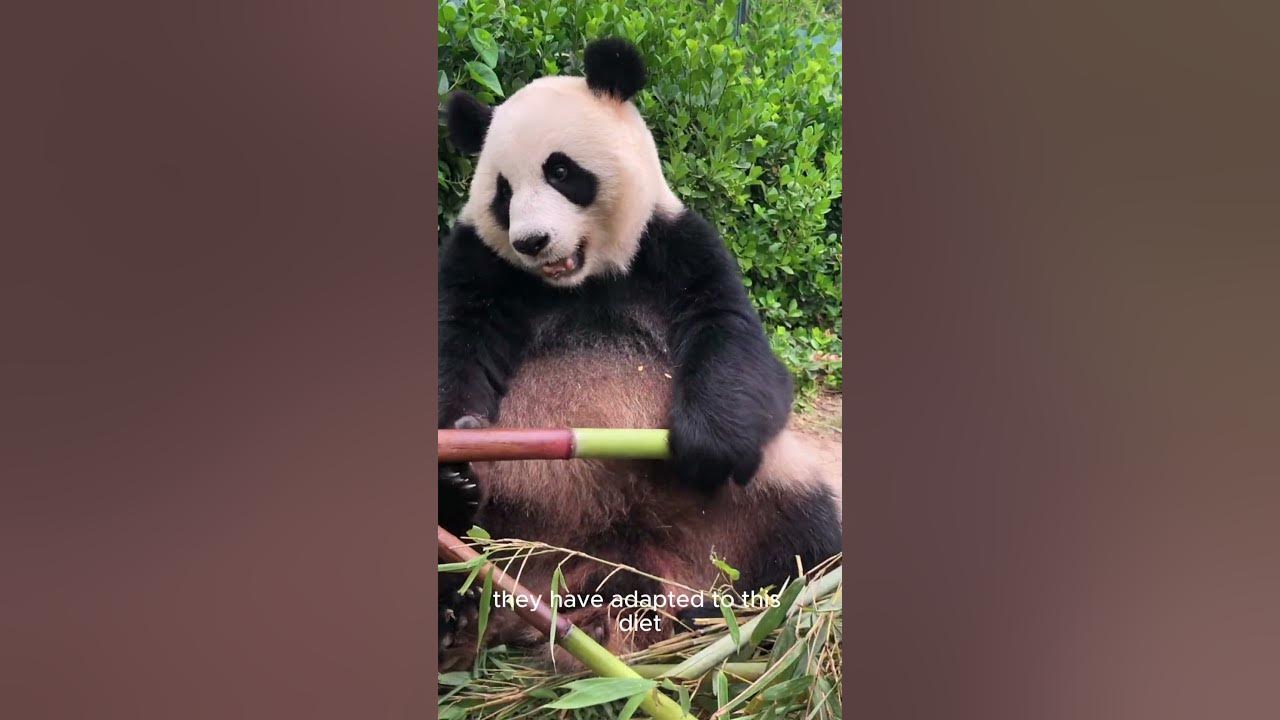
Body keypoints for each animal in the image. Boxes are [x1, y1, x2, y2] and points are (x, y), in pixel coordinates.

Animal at [438, 38, 840, 667]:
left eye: (560, 171)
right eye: (502, 193)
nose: (532, 241)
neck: (576, 282)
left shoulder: (676, 245)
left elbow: (735, 344)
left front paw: (706, 445)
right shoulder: (480, 263)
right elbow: (454, 345)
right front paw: (456, 456)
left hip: (757, 503)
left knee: (808, 543)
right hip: (514, 525)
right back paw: (457, 588)